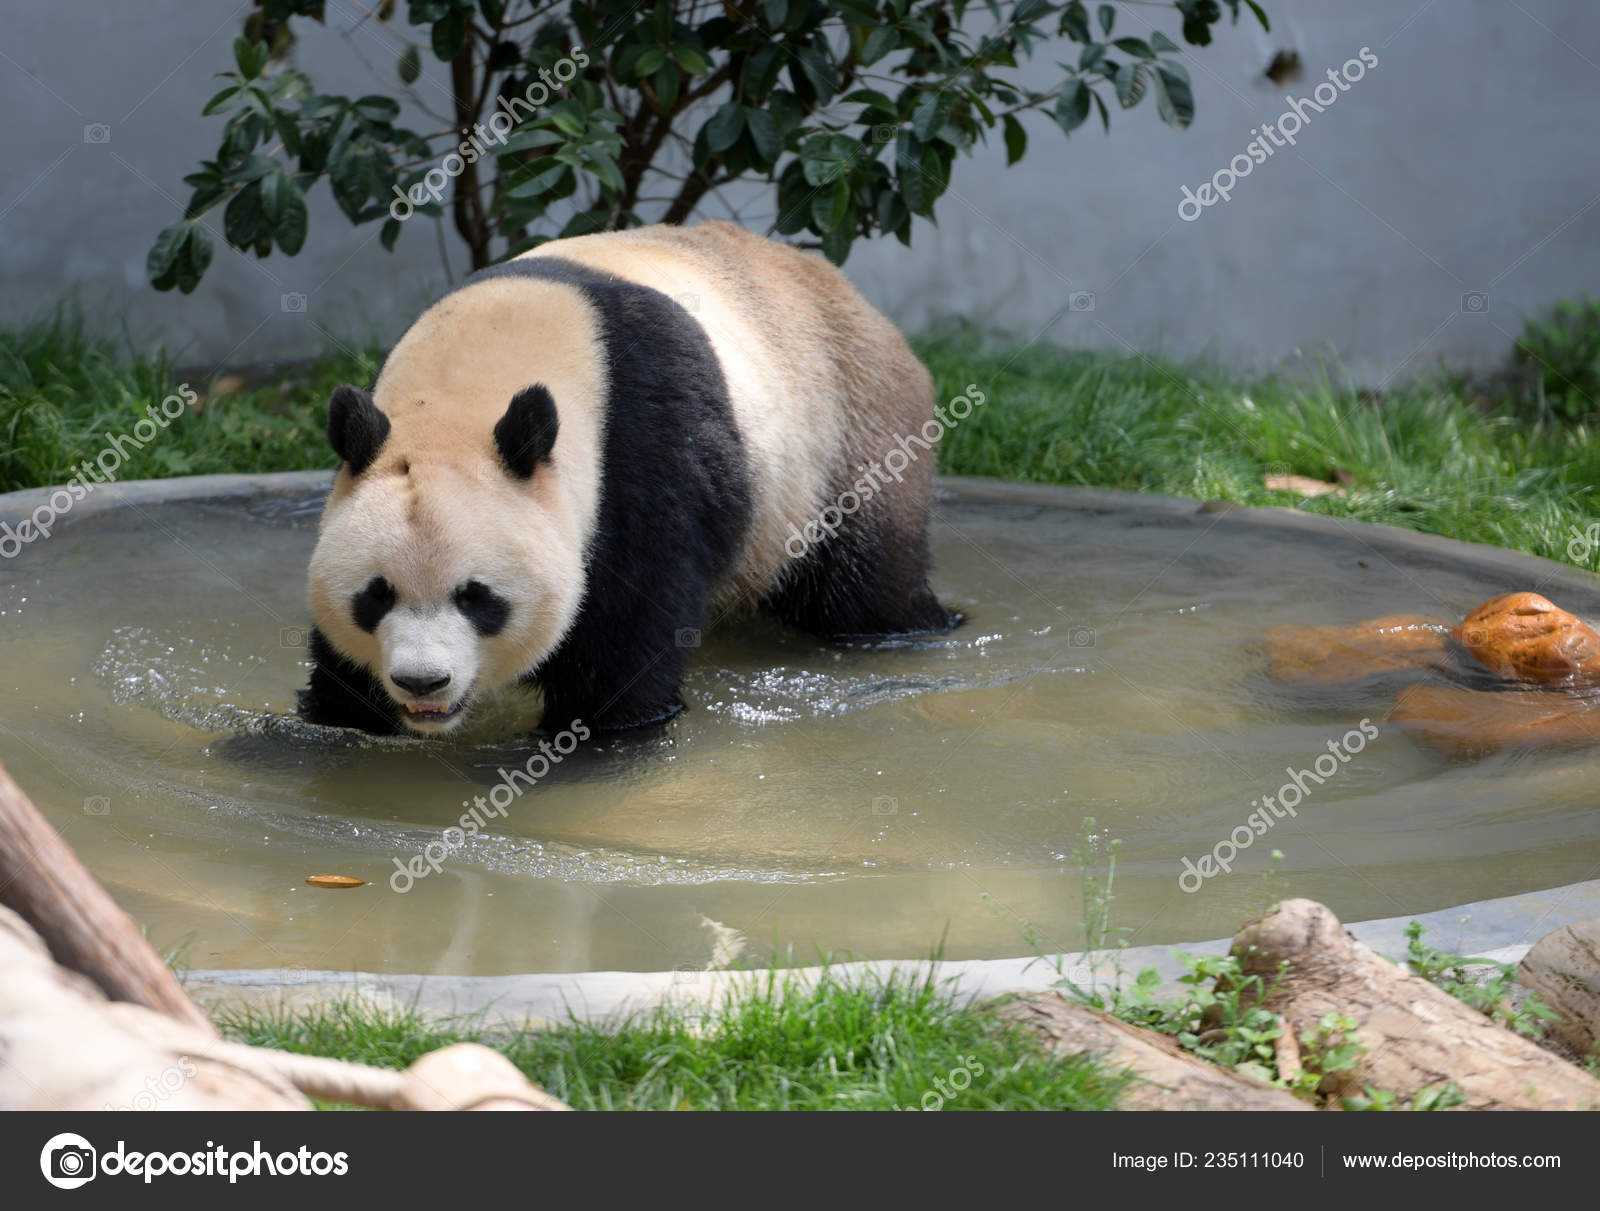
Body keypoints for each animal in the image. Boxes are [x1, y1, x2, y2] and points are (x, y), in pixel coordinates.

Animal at [300, 220, 962, 737]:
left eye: (477, 597)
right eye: (376, 594)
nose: (423, 682)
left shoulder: (640, 450)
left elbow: (626, 630)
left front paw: (594, 735)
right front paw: (342, 716)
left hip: (850, 431)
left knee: (860, 583)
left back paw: (917, 625)